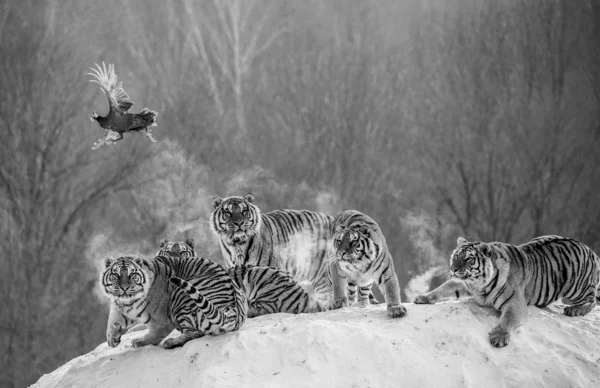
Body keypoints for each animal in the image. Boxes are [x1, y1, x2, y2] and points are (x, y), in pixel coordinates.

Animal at [101, 250, 246, 350]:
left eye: (132, 275)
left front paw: (139, 342)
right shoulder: (120, 306)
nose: (124, 288)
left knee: (195, 332)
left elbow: (155, 333)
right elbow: (113, 319)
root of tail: (234, 310)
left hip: (180, 296)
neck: (128, 302)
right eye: (115, 275)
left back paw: (171, 342)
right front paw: (112, 338)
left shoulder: (161, 321)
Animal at [158, 238, 328, 316]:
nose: (174, 259)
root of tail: (302, 293)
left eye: (182, 252)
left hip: (258, 277)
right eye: (168, 251)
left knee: (272, 308)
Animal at [412, 235, 600, 348]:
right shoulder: (463, 284)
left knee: (591, 300)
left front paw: (499, 337)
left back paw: (575, 310)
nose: (453, 269)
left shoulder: (514, 302)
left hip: (576, 287)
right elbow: (442, 288)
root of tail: (590, 250)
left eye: (468, 259)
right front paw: (423, 297)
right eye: (456, 256)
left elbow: (508, 319)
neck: (478, 283)